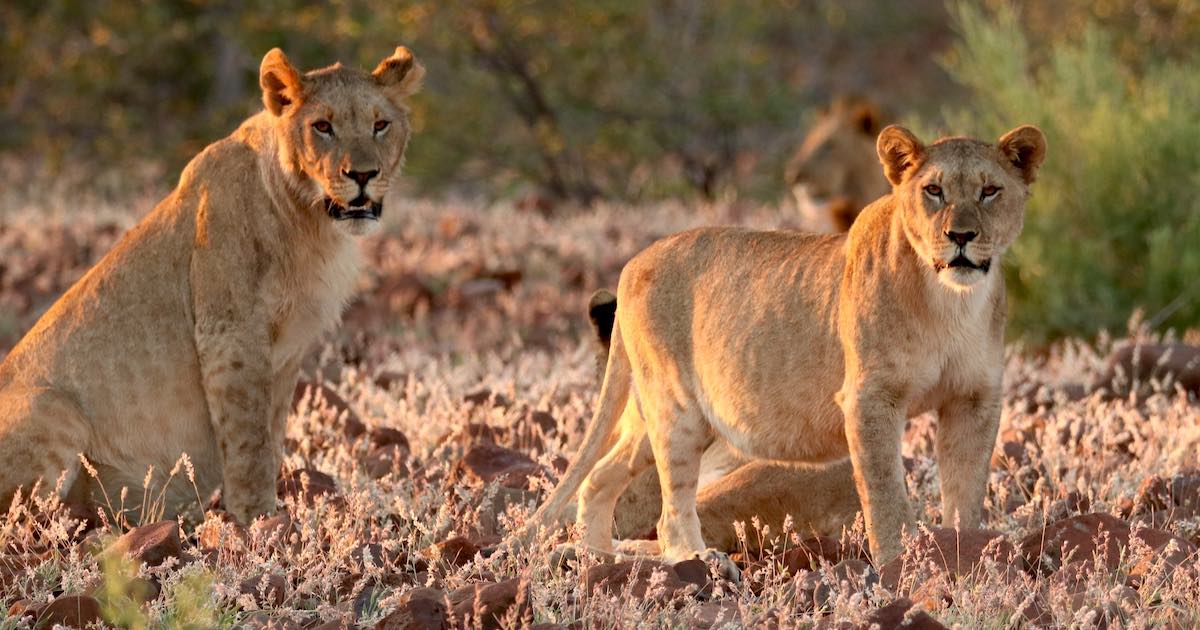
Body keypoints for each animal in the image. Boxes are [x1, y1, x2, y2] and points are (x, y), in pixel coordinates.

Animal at [0, 47, 424, 524]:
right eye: (322, 127)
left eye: (380, 124)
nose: (364, 175)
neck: (309, 221)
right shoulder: (230, 333)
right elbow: (248, 442)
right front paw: (257, 520)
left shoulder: (288, 351)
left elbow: (272, 435)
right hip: (55, 411)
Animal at [528, 124, 1046, 571]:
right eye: (934, 190)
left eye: (989, 191)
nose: (960, 236)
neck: (950, 303)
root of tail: (633, 262)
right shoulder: (870, 398)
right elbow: (885, 494)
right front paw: (901, 566)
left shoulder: (974, 398)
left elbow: (965, 491)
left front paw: (965, 551)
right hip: (677, 409)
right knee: (669, 512)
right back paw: (699, 561)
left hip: (651, 413)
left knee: (599, 478)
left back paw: (594, 555)